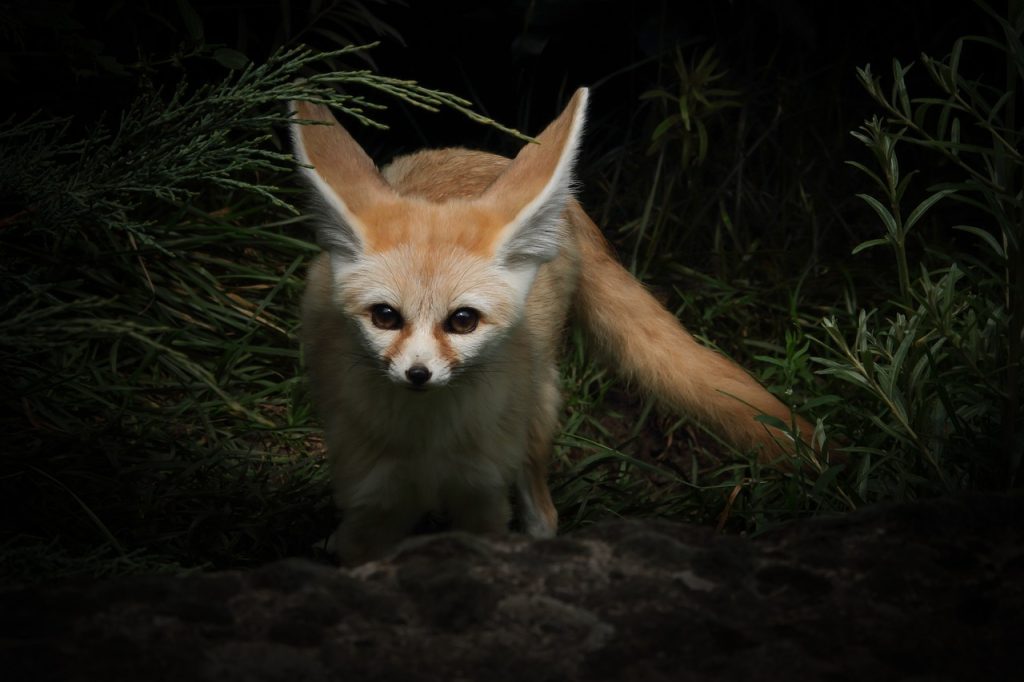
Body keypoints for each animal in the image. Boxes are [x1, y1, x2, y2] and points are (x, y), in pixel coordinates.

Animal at [290, 87, 815, 564]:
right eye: (385, 316)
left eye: (462, 320)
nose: (418, 374)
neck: (428, 443)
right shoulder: (372, 498)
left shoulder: (482, 496)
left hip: (536, 416)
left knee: (544, 511)